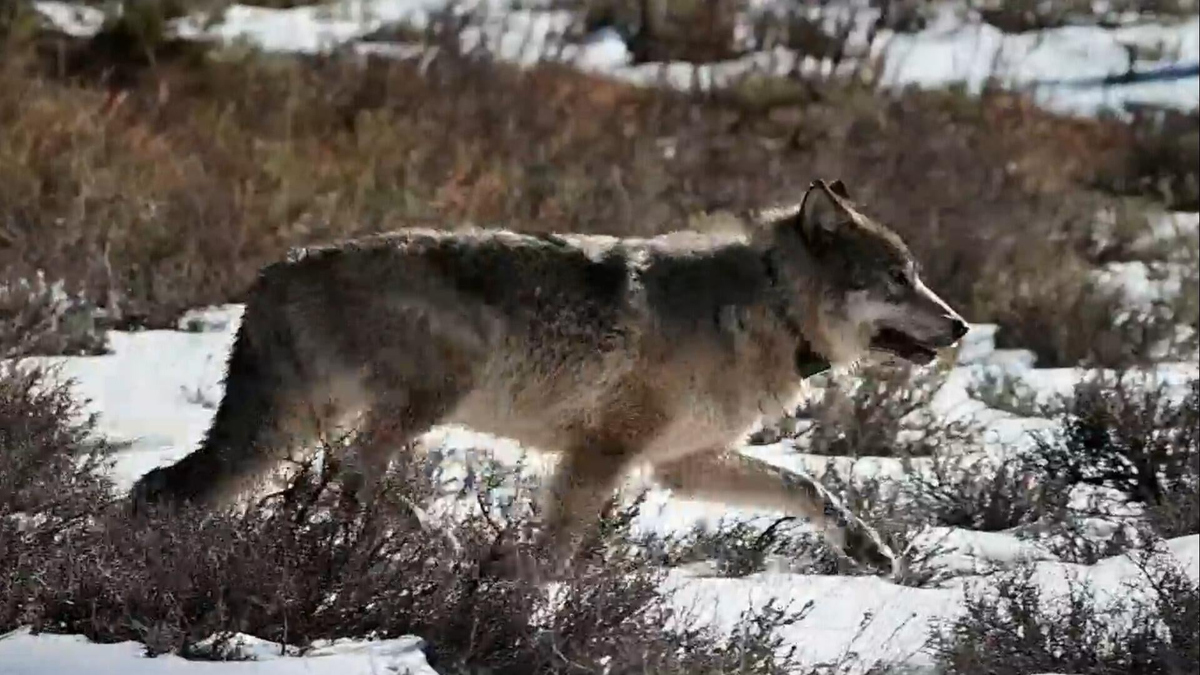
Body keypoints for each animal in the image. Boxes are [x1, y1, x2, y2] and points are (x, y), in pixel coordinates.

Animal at [131, 179, 968, 576]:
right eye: (898, 279)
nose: (960, 325)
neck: (770, 303)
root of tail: (278, 268)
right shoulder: (604, 452)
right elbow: (558, 549)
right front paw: (525, 603)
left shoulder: (683, 464)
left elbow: (808, 486)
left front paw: (867, 547)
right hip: (425, 394)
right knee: (354, 474)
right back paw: (431, 534)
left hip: (297, 426)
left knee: (183, 483)